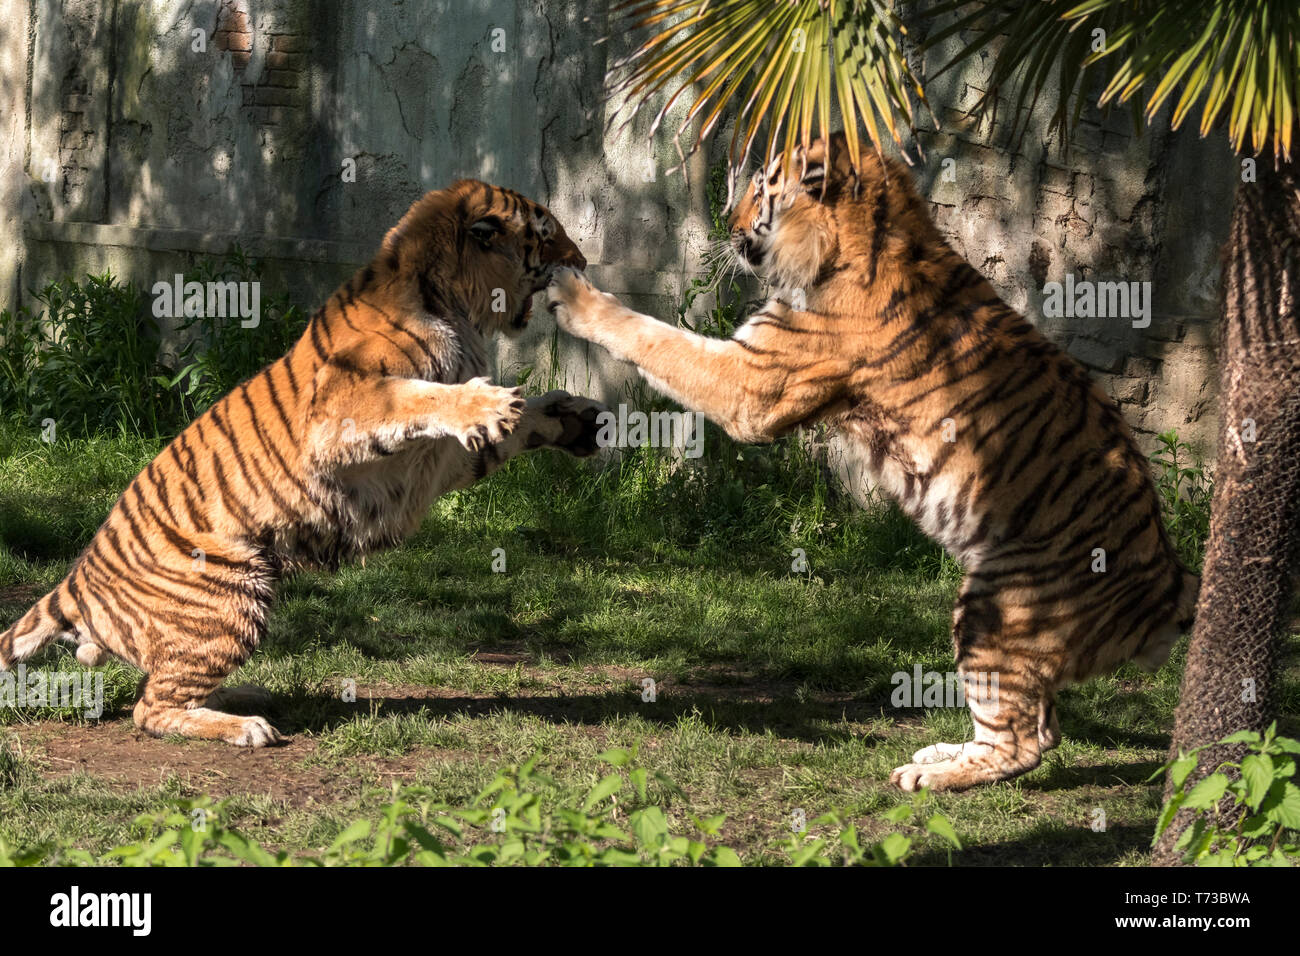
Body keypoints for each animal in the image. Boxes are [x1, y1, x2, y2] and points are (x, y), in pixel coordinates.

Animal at [0, 179, 603, 747]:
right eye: (546, 233)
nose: (583, 263)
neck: (459, 308)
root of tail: (76, 578)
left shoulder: (437, 459)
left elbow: (513, 428)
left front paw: (576, 419)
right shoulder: (344, 405)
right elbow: (419, 396)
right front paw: (490, 402)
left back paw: (247, 695)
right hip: (231, 592)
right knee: (150, 708)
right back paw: (245, 726)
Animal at [546, 133, 1199, 792]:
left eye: (759, 186)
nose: (726, 225)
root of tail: (1168, 577)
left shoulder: (752, 382)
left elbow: (655, 337)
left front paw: (572, 295)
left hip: (997, 609)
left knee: (1022, 743)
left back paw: (930, 777)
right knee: (1041, 728)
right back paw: (938, 753)